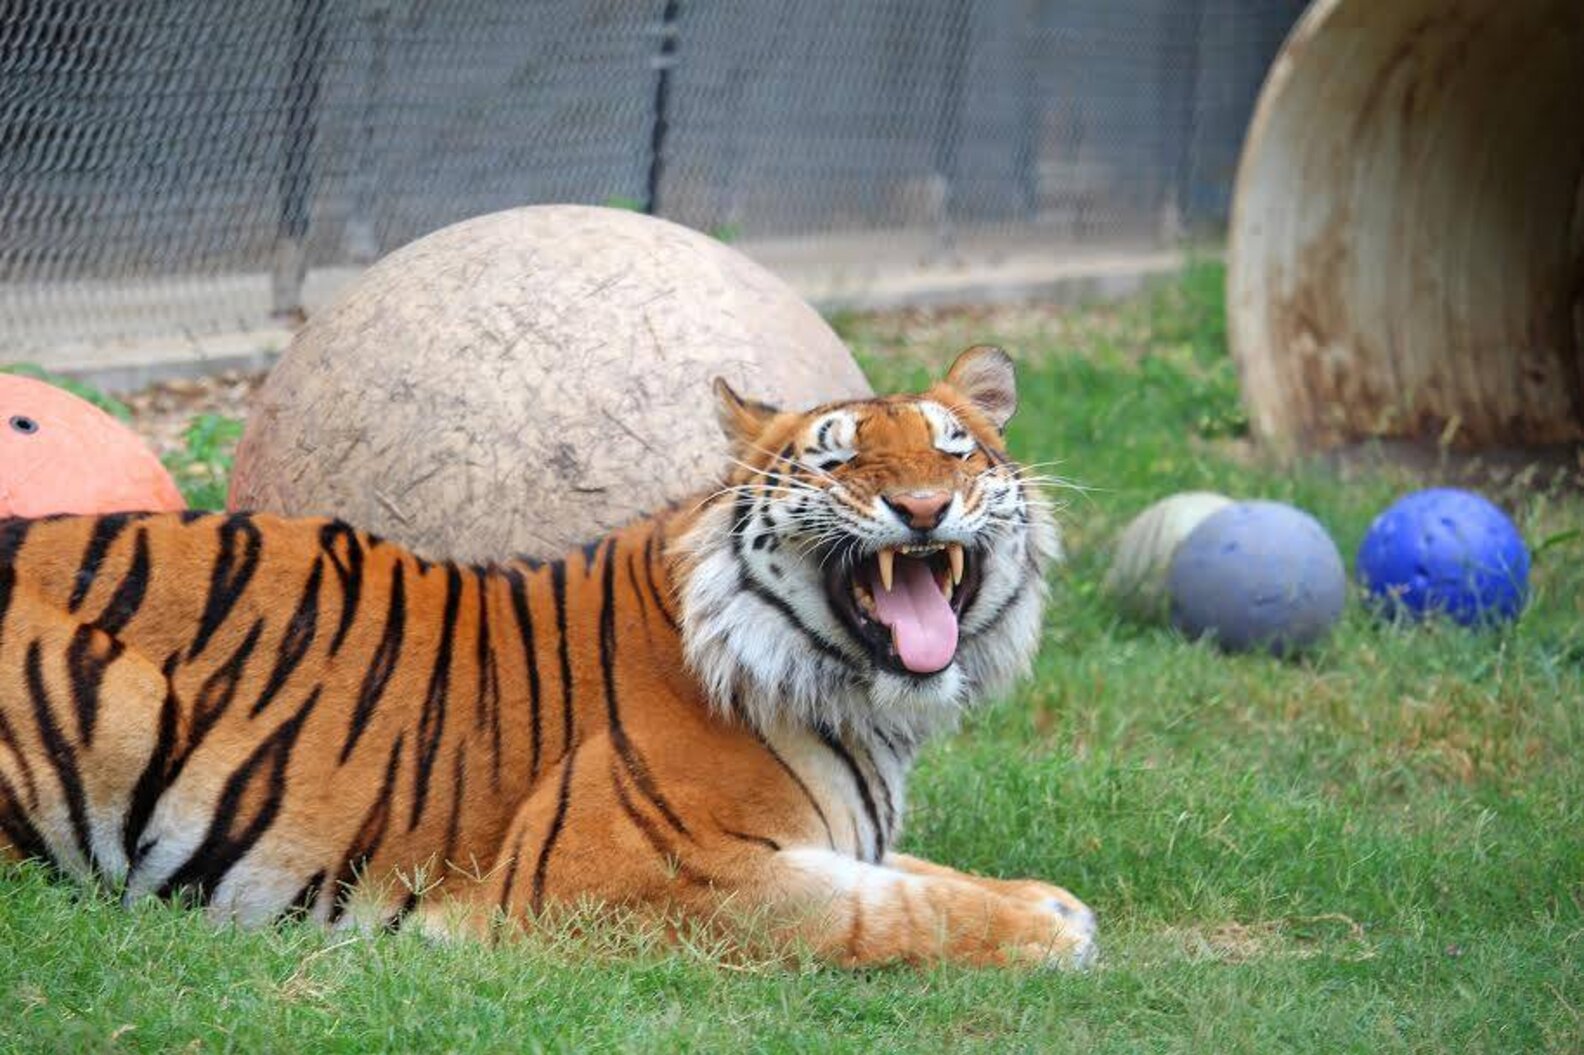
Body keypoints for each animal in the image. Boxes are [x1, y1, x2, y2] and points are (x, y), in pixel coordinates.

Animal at [0, 345, 1095, 968]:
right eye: (839, 460)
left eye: (955, 449)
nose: (923, 506)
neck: (854, 697)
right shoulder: (634, 875)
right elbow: (886, 913)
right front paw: (1055, 929)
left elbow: (918, 872)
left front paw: (1037, 896)